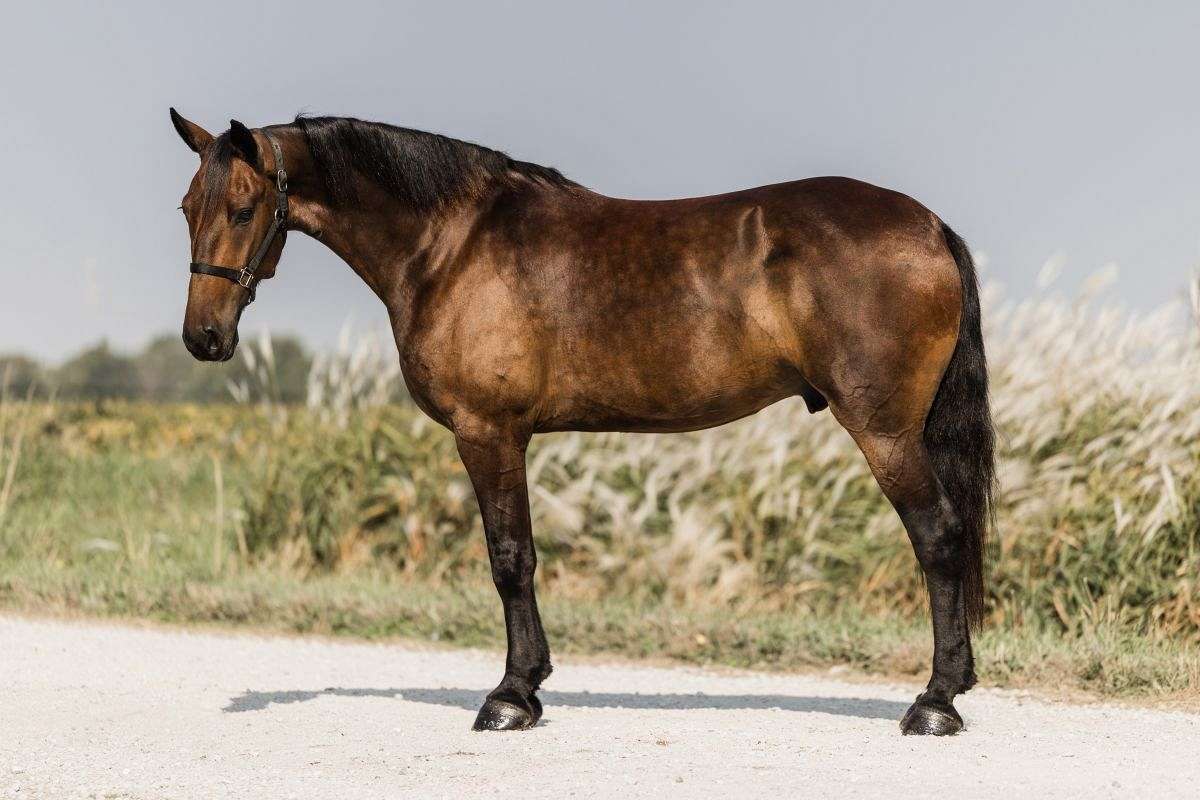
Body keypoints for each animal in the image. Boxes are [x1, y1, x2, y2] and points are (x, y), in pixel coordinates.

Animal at [170, 109, 995, 736]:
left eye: (244, 208)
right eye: (187, 208)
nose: (203, 338)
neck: (451, 244)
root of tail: (929, 226)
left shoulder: (488, 431)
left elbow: (510, 559)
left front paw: (511, 696)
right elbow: (521, 557)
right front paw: (529, 685)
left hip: (886, 432)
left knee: (939, 539)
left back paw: (934, 703)